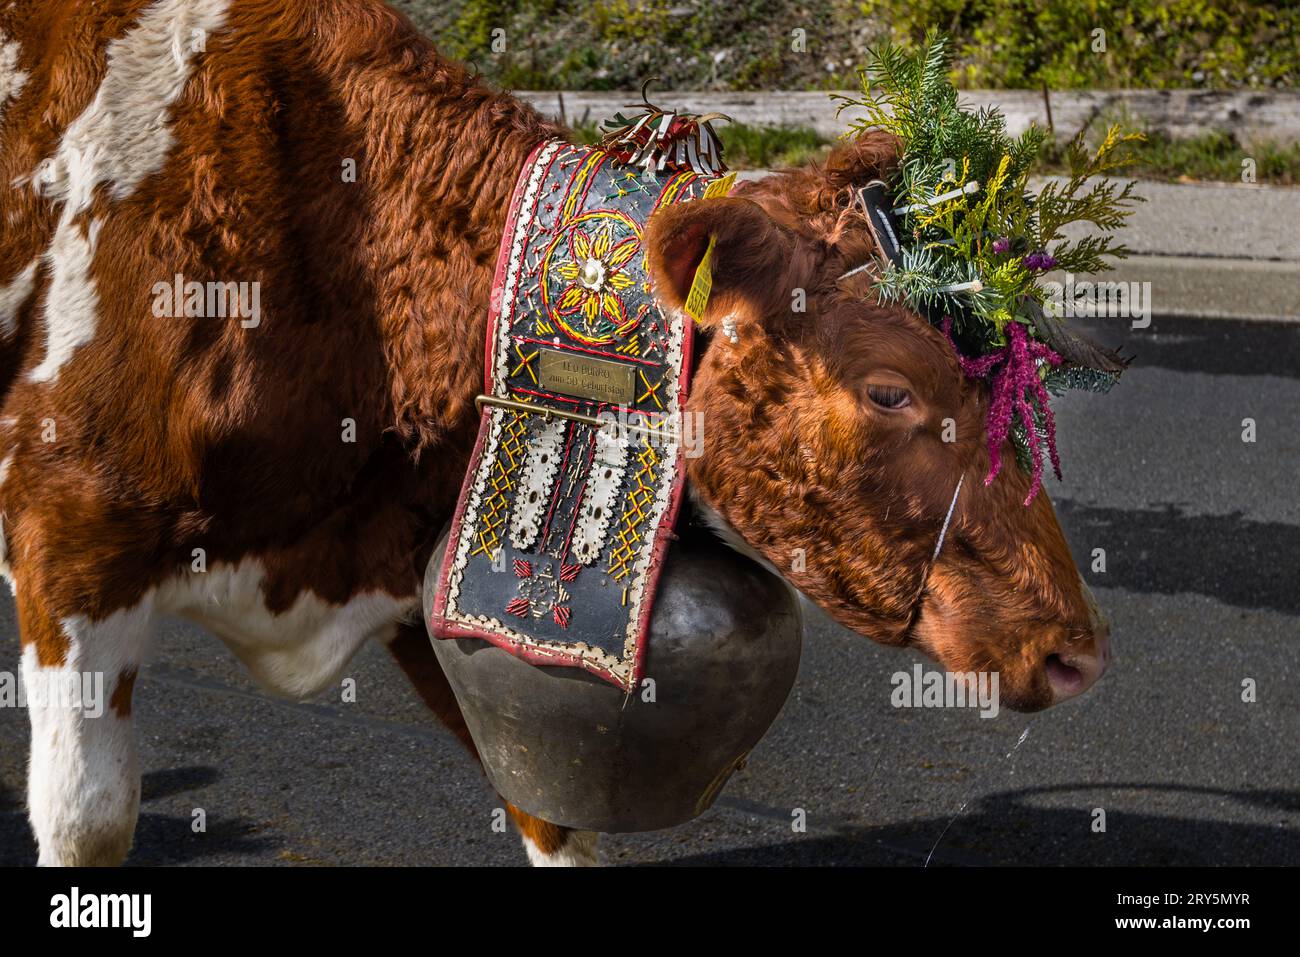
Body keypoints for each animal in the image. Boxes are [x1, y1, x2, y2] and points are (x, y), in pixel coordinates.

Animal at [0, 0, 1110, 867]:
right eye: (887, 390)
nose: (1074, 650)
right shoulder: (70, 544)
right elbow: (89, 822)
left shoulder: (441, 597)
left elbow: (551, 810)